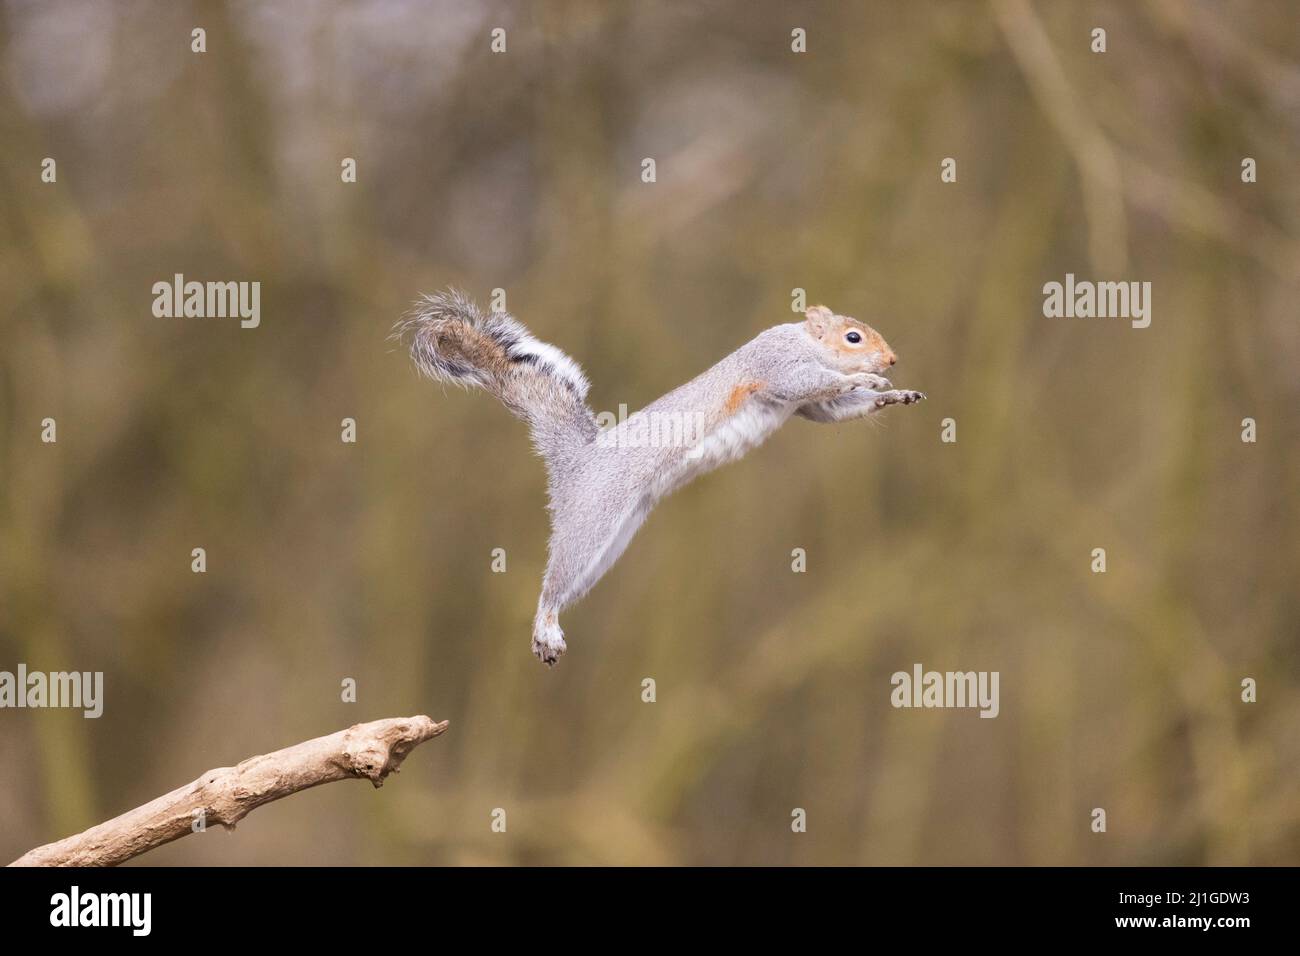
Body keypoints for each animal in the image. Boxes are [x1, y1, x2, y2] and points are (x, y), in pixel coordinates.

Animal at [395, 290, 925, 665]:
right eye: (853, 337)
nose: (893, 361)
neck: (805, 341)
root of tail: (575, 461)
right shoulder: (776, 366)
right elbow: (812, 383)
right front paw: (865, 379)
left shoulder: (807, 406)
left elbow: (829, 411)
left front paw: (896, 394)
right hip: (592, 519)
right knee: (554, 580)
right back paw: (545, 624)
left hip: (610, 545)